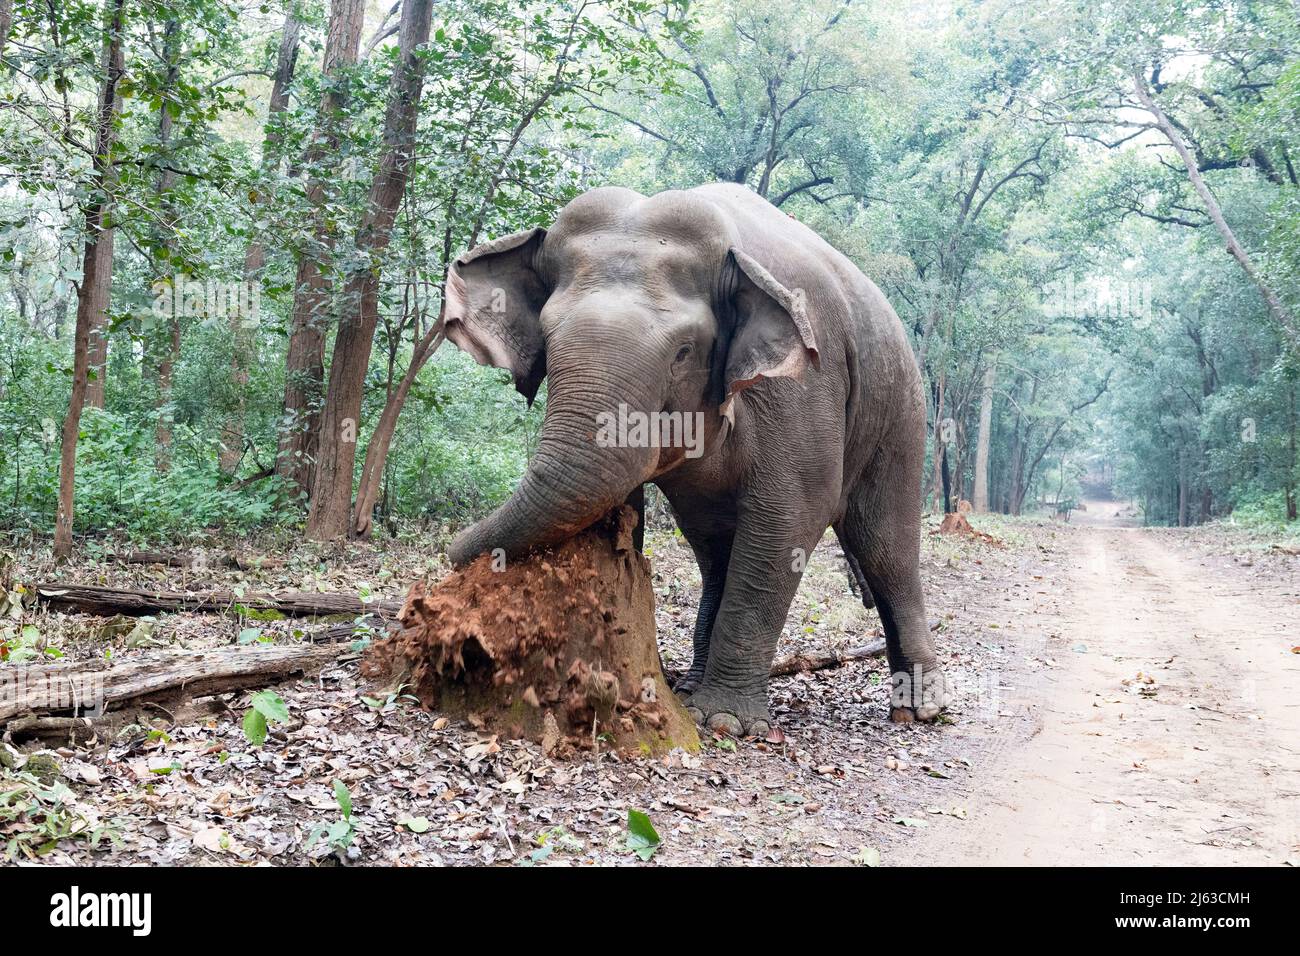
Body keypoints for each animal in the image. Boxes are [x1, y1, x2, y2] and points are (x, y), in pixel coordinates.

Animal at [443, 183, 949, 735]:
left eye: (683, 352)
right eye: (549, 337)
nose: (452, 551)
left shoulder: (804, 388)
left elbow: (790, 518)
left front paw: (726, 723)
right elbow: (623, 506)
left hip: (900, 416)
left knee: (886, 549)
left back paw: (919, 710)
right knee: (714, 550)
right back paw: (688, 688)